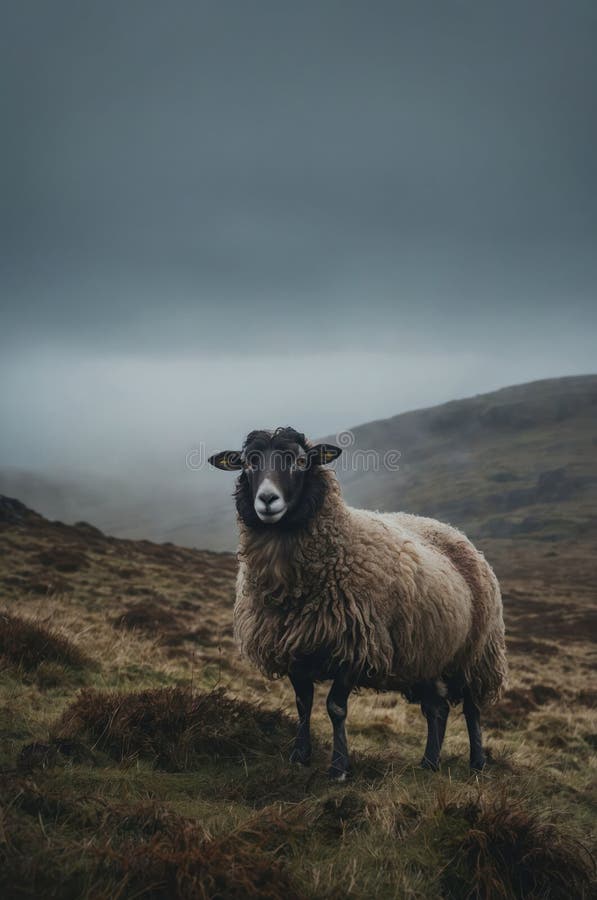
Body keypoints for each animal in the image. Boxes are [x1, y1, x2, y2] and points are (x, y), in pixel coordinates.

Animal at [209, 426, 507, 780]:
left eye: (299, 460)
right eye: (248, 463)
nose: (267, 500)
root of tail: (458, 534)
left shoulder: (355, 645)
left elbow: (335, 708)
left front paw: (339, 767)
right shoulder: (293, 645)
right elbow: (303, 704)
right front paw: (300, 756)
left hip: (476, 653)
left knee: (472, 708)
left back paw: (477, 763)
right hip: (426, 654)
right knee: (437, 708)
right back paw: (429, 762)